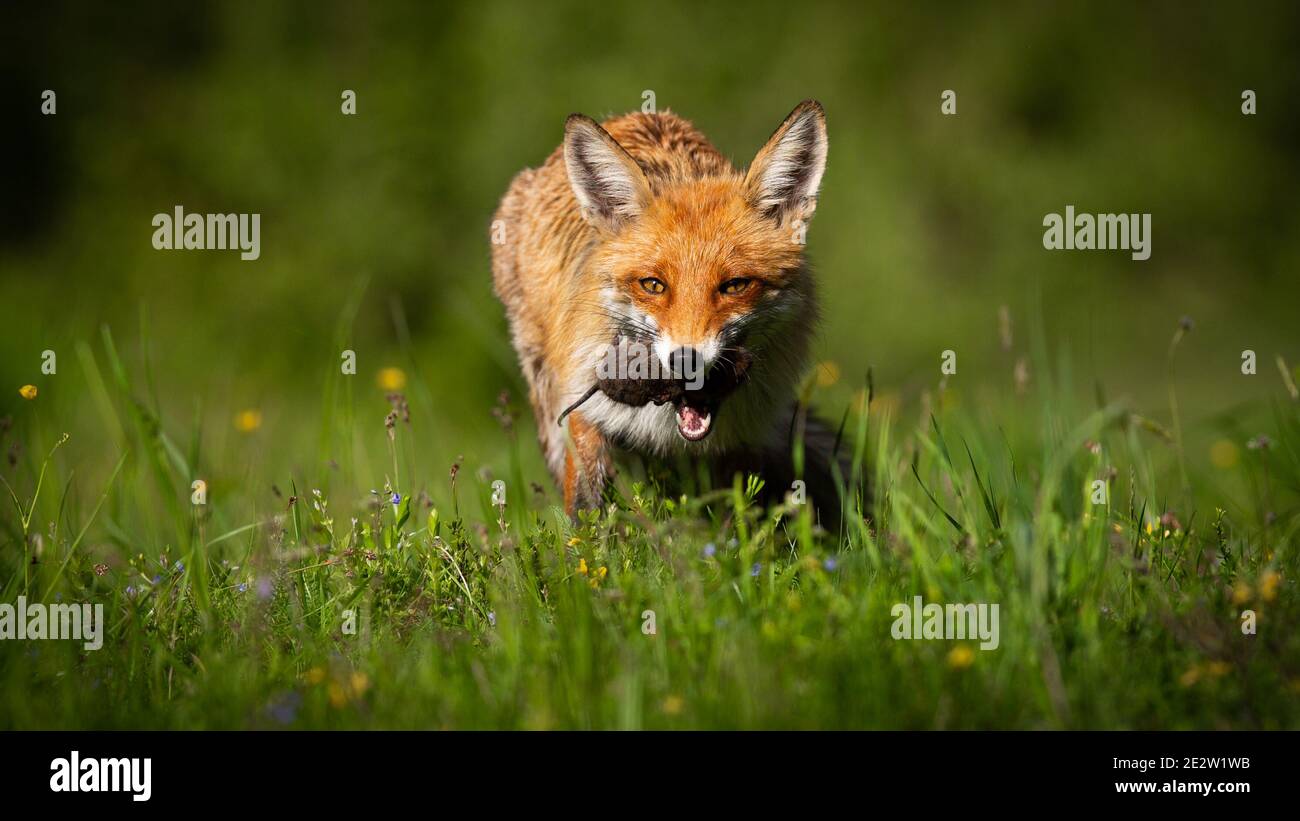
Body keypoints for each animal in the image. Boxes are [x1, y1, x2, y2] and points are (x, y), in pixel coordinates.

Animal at [491, 100, 849, 519]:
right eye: (653, 285)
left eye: (735, 285)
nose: (686, 360)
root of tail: (636, 114)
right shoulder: (583, 402)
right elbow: (587, 506)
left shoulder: (741, 440)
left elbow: (732, 515)